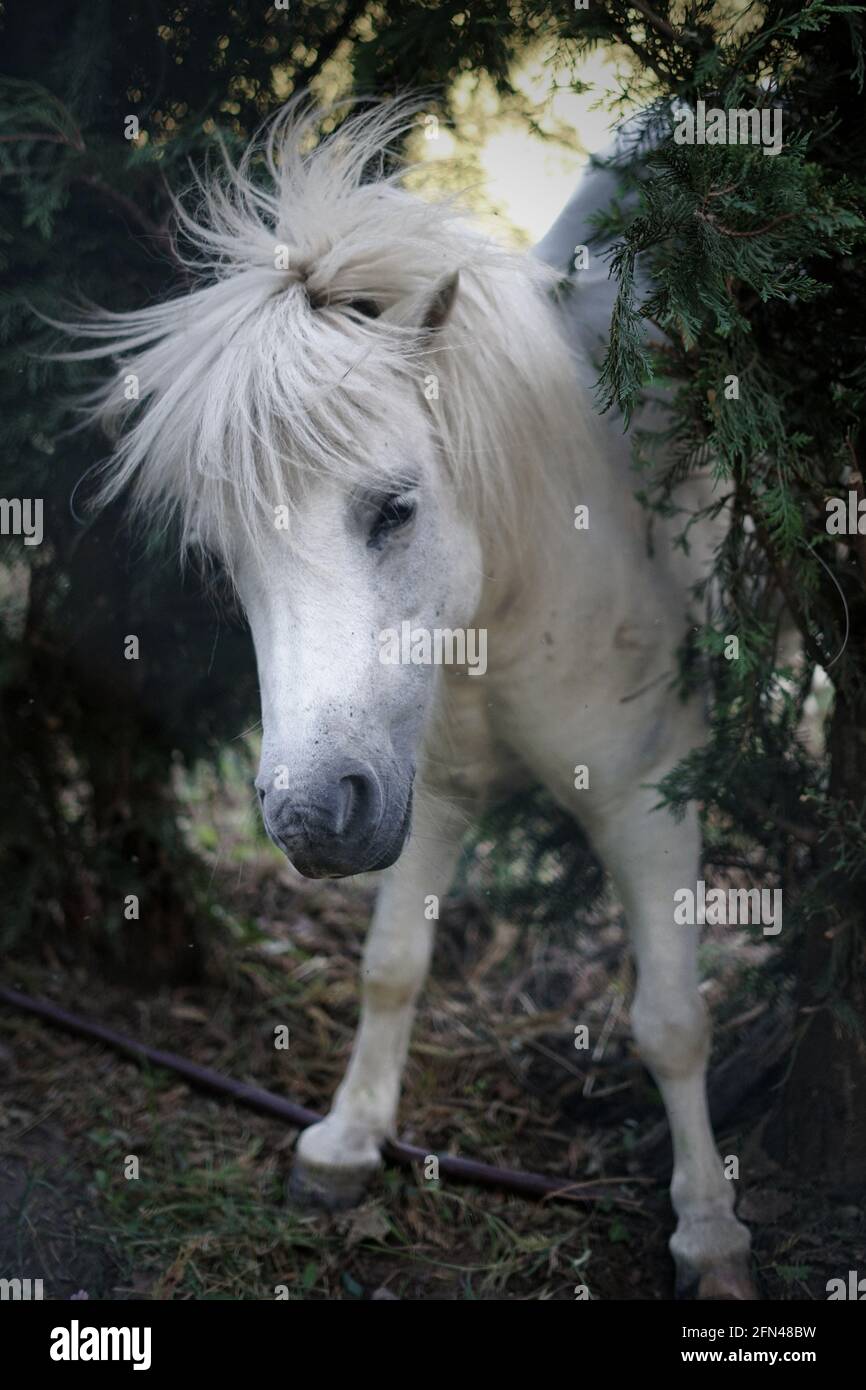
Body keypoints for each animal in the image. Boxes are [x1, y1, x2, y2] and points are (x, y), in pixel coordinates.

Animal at [65, 98, 754, 1300]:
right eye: (224, 556)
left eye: (393, 508)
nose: (304, 815)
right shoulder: (417, 789)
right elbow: (391, 966)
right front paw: (346, 1142)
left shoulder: (649, 795)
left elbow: (672, 1020)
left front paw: (708, 1235)